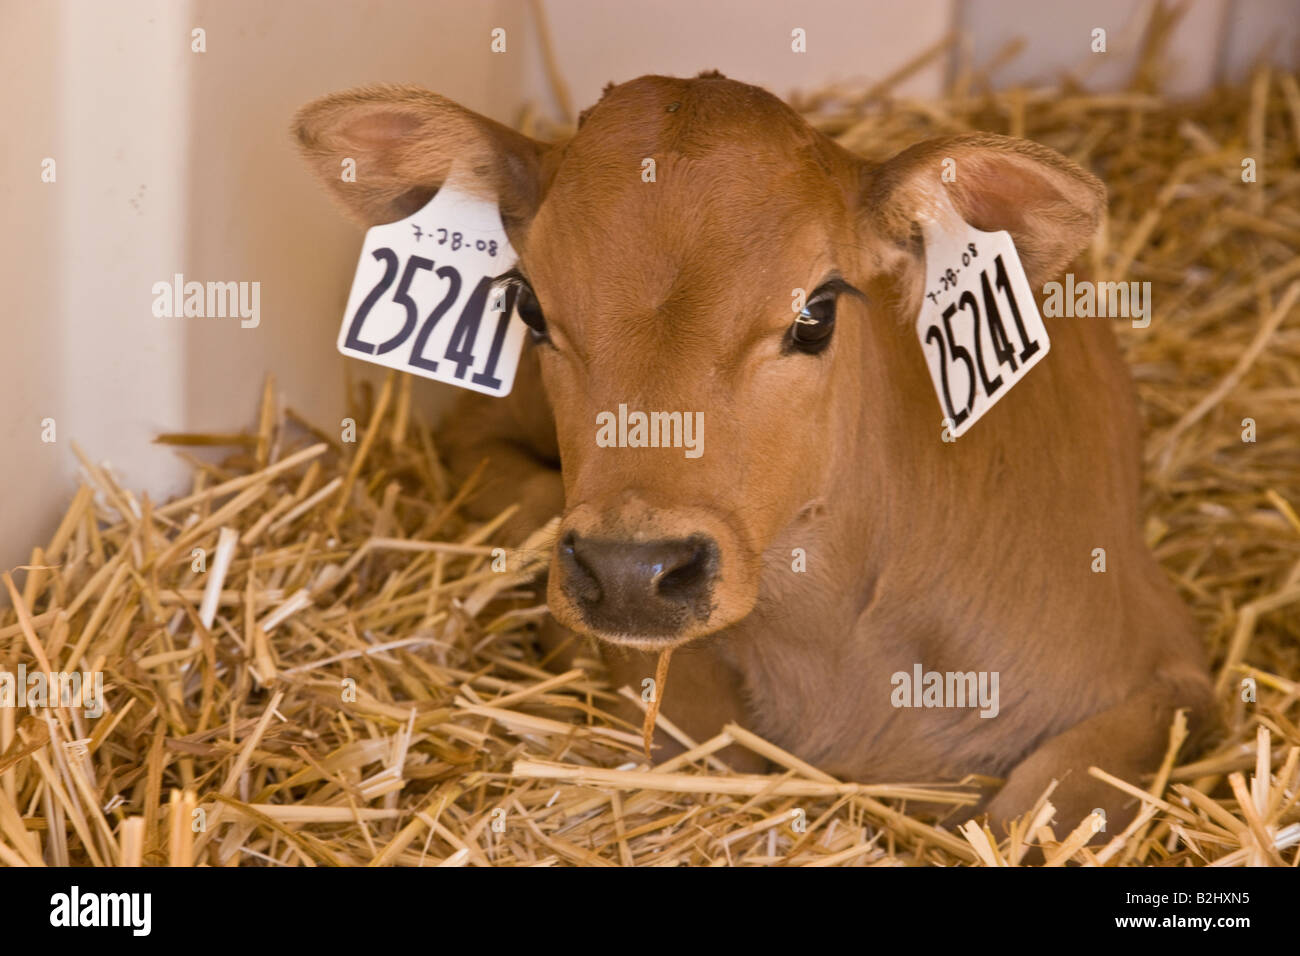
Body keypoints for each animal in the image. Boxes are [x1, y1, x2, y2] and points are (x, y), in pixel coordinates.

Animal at [293, 71, 1215, 842]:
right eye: (528, 305)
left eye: (816, 313)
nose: (630, 572)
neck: (833, 638)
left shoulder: (1171, 678)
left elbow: (1043, 806)